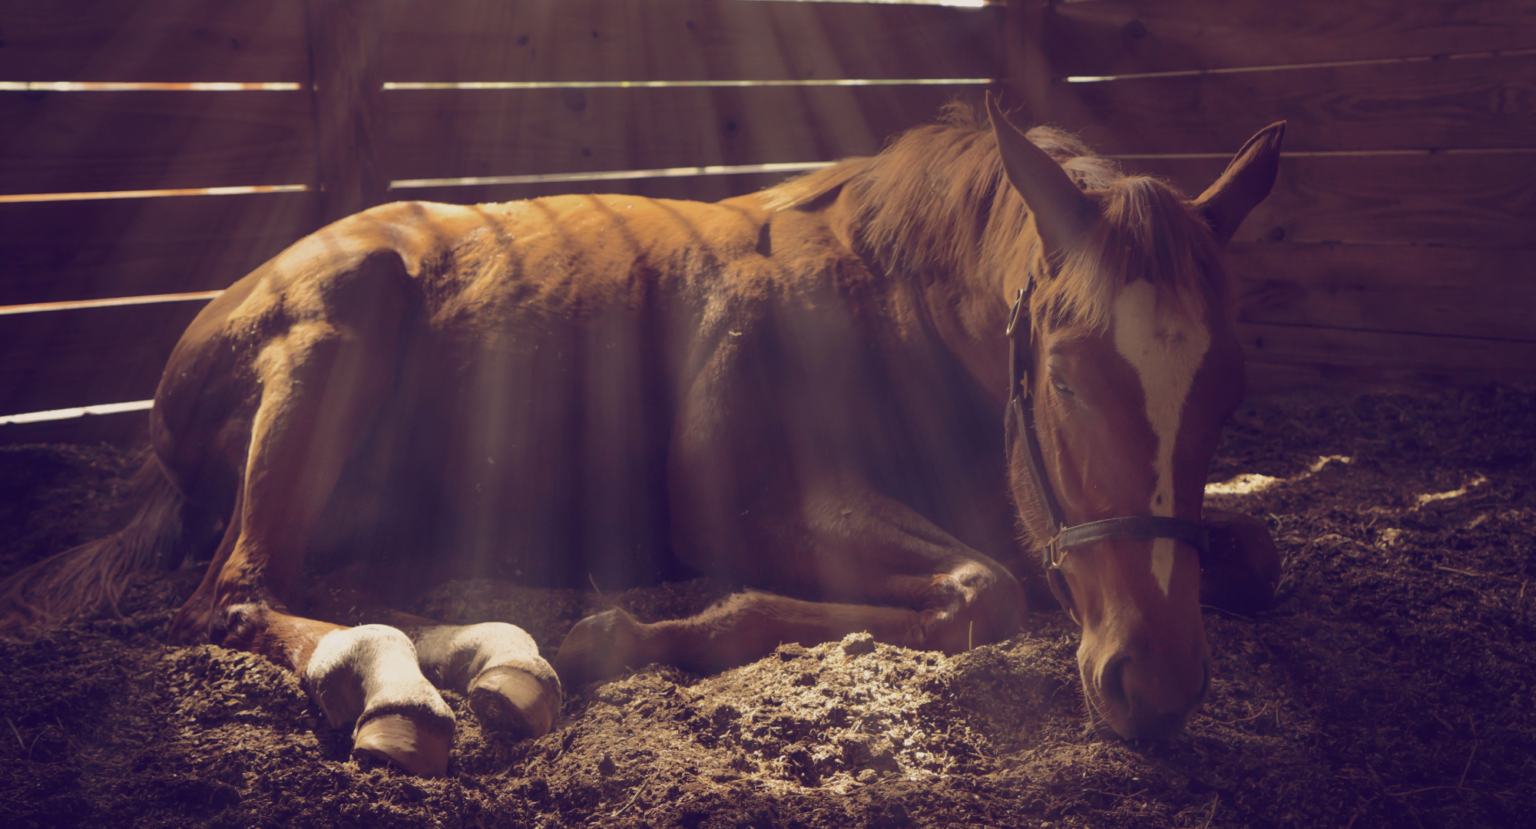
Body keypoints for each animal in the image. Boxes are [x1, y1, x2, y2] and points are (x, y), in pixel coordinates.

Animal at [0, 95, 1284, 776]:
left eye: (1231, 384)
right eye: (1065, 373)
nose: (1157, 684)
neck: (883, 295)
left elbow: (1239, 554)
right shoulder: (753, 503)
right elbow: (986, 592)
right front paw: (633, 632)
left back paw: (501, 662)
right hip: (333, 332)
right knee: (235, 594)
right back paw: (408, 696)